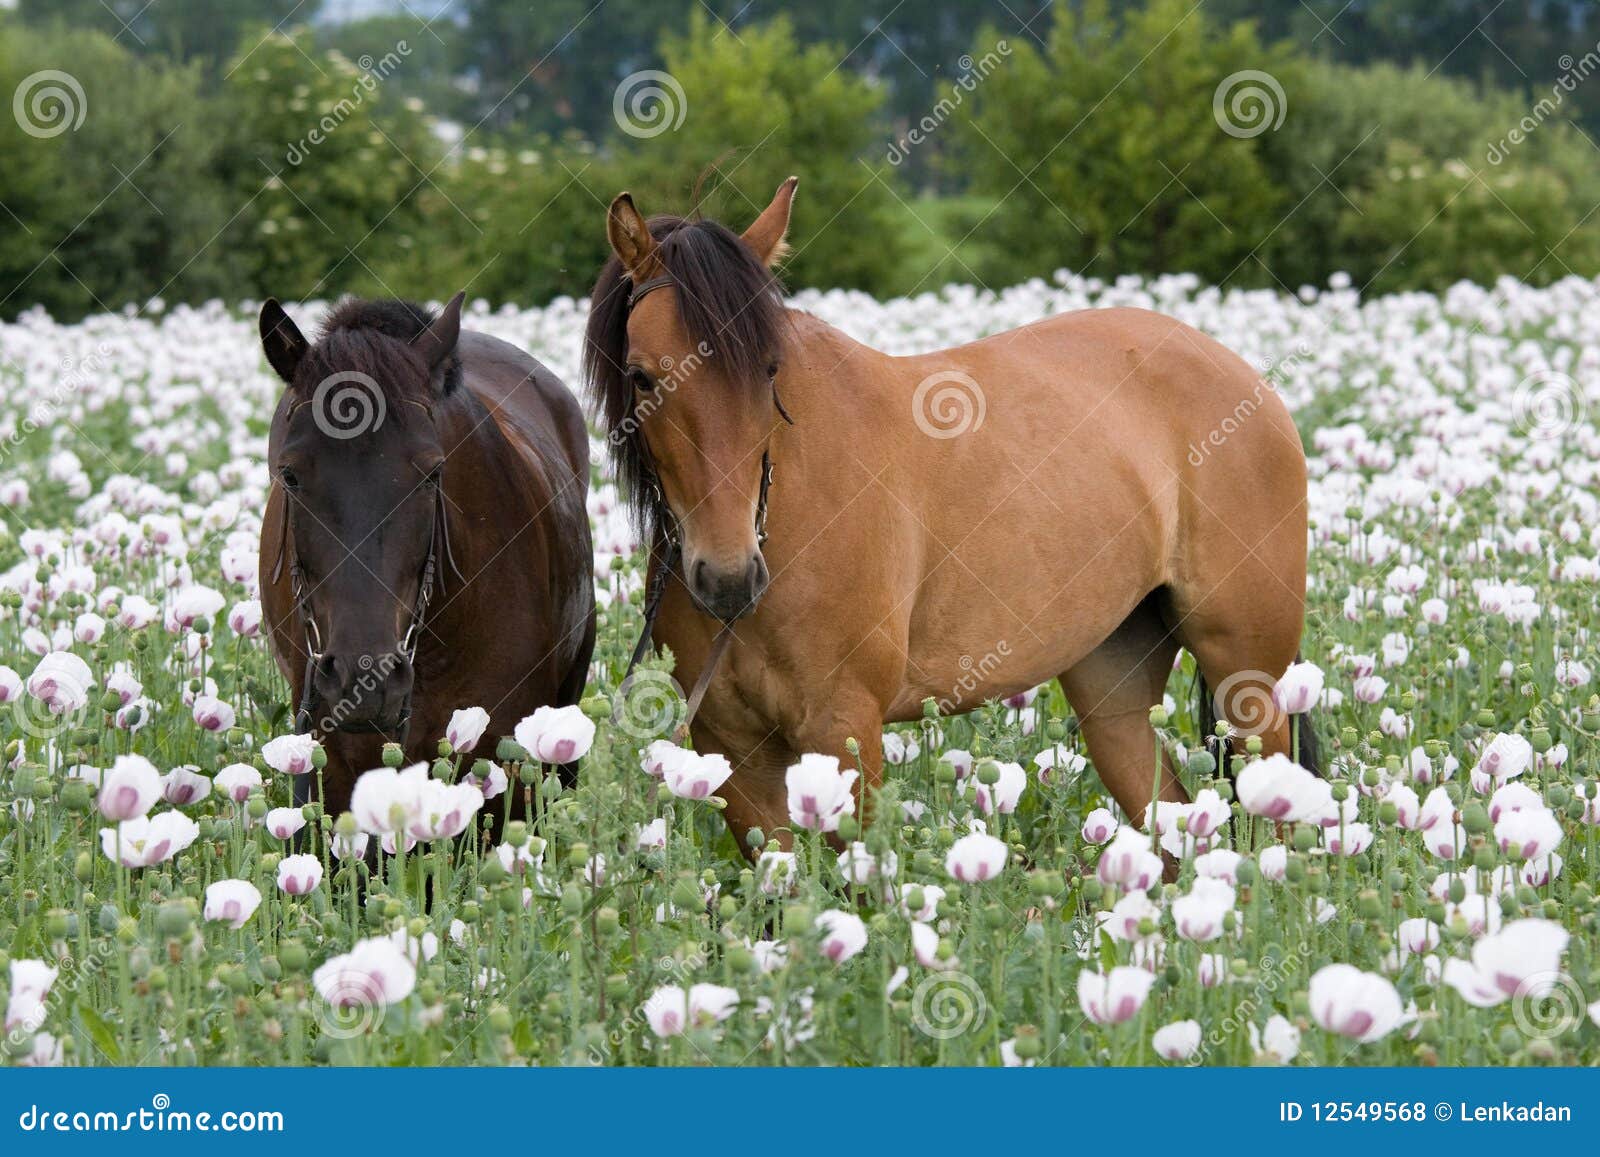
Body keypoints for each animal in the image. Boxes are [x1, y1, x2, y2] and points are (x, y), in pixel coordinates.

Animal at [584, 178, 1316, 856]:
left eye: (769, 371)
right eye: (642, 377)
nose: (729, 579)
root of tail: (1242, 377)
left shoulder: (842, 730)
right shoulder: (736, 756)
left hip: (1246, 681)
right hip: (1115, 687)